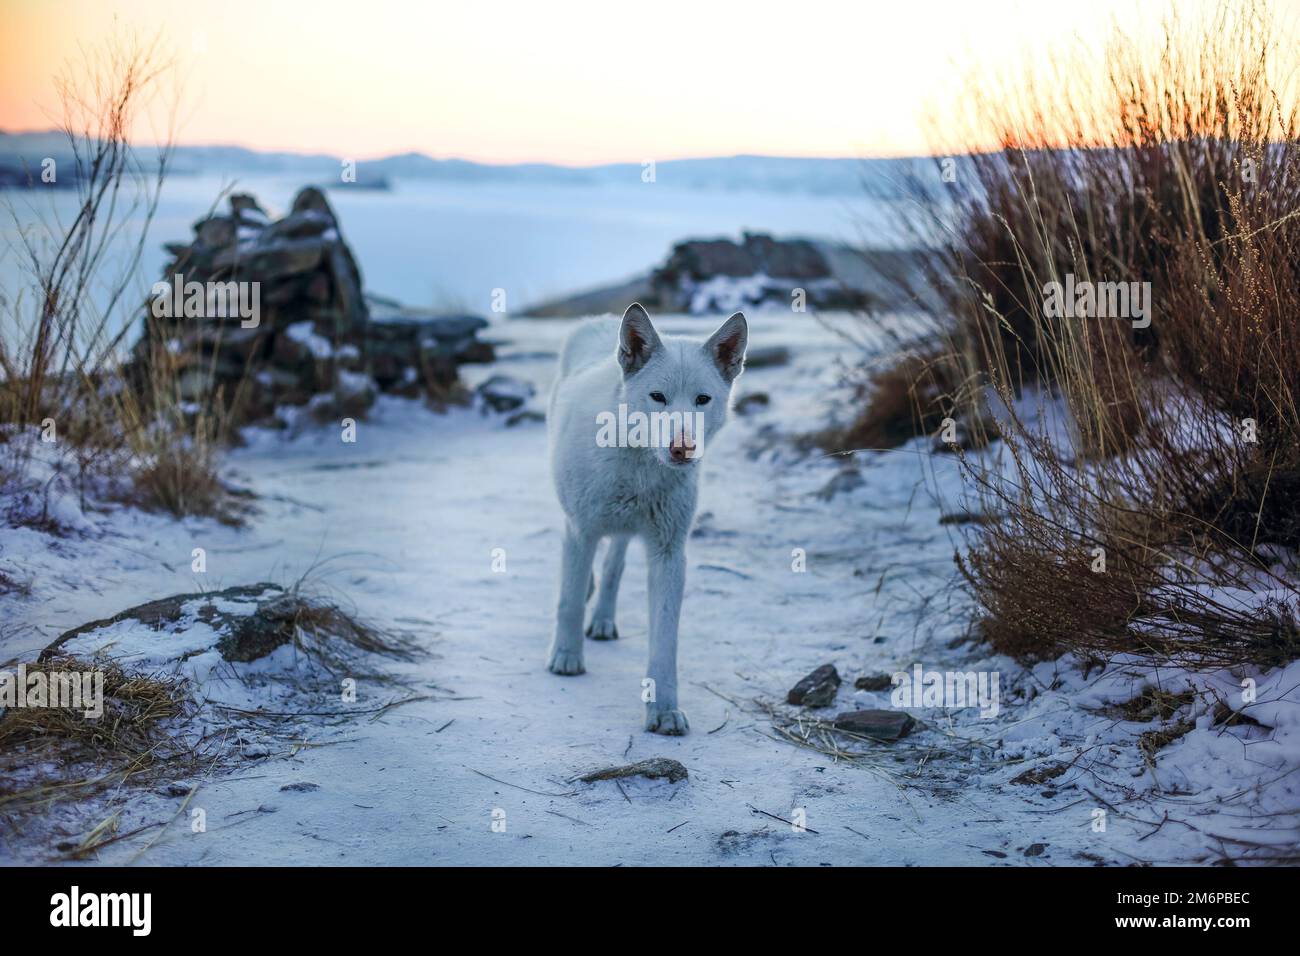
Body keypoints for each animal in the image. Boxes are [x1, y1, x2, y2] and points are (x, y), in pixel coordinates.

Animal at [546, 303, 748, 734]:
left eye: (702, 399)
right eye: (658, 397)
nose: (682, 448)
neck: (638, 466)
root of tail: (603, 319)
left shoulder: (668, 554)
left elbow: (665, 642)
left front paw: (664, 709)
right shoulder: (581, 530)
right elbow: (569, 600)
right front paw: (567, 658)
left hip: (628, 530)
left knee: (614, 564)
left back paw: (603, 619)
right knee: (583, 574)